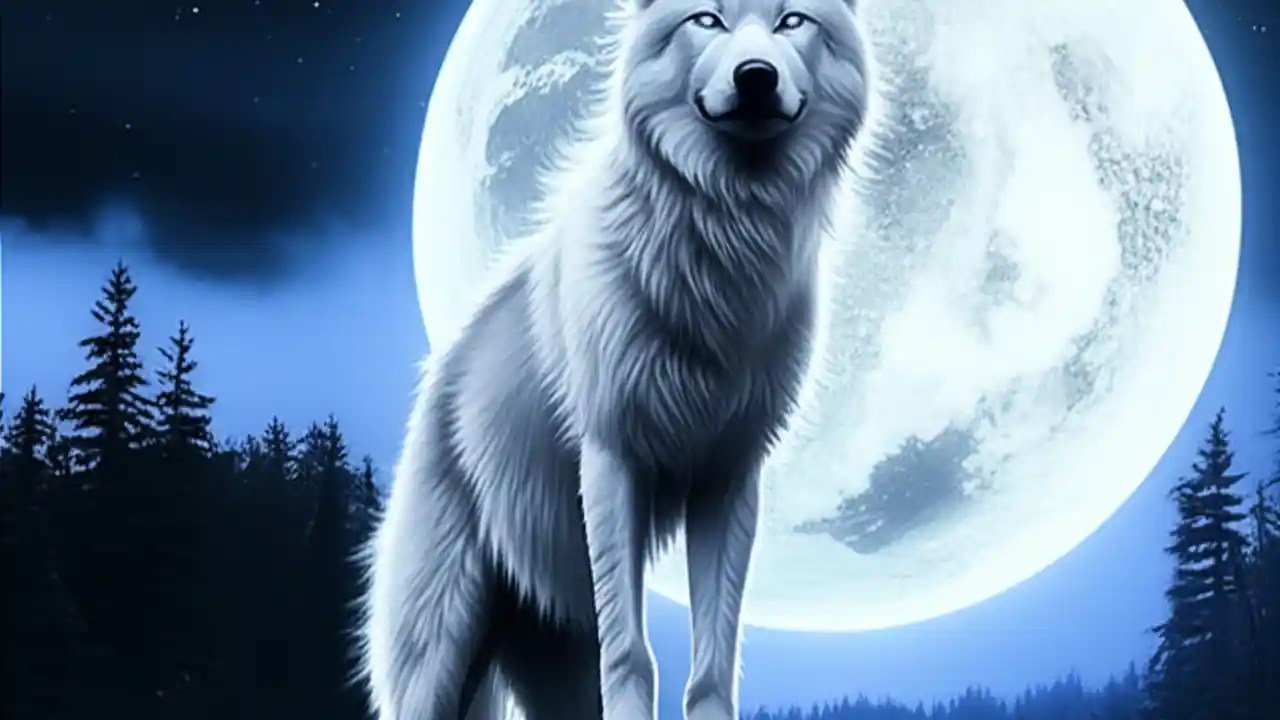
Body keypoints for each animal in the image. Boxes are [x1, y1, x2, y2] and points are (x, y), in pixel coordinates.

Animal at [361, 0, 870, 718]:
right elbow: (631, 652)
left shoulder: (730, 477)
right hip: (441, 648)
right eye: (706, 20)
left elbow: (713, 664)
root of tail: (439, 381)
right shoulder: (611, 461)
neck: (724, 239)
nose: (756, 77)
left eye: (792, 21)